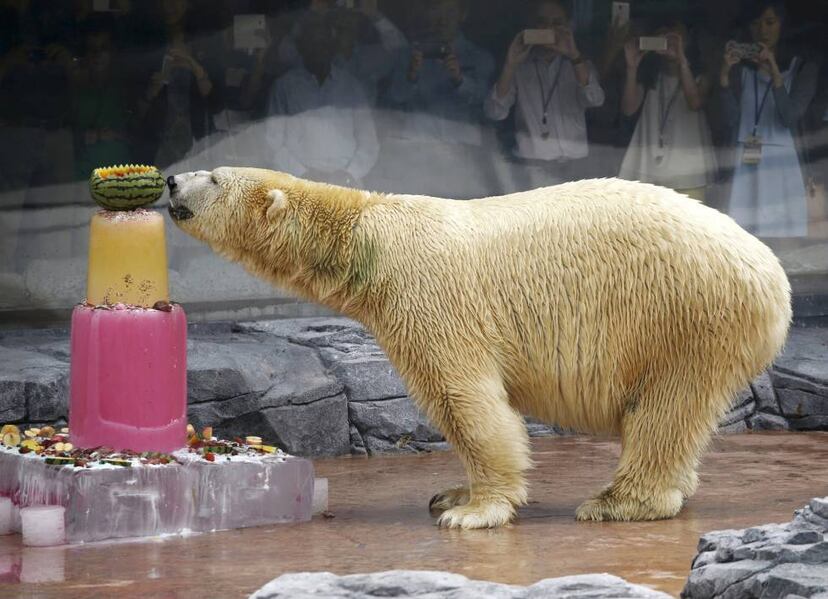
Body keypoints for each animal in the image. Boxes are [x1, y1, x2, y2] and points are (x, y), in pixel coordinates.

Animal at [167, 167, 791, 529]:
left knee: (663, 408)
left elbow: (465, 398)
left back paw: (617, 502)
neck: (367, 232)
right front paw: (450, 494)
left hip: (682, 314)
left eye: (215, 177)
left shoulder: (426, 296)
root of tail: (771, 273)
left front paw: (472, 511)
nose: (171, 179)